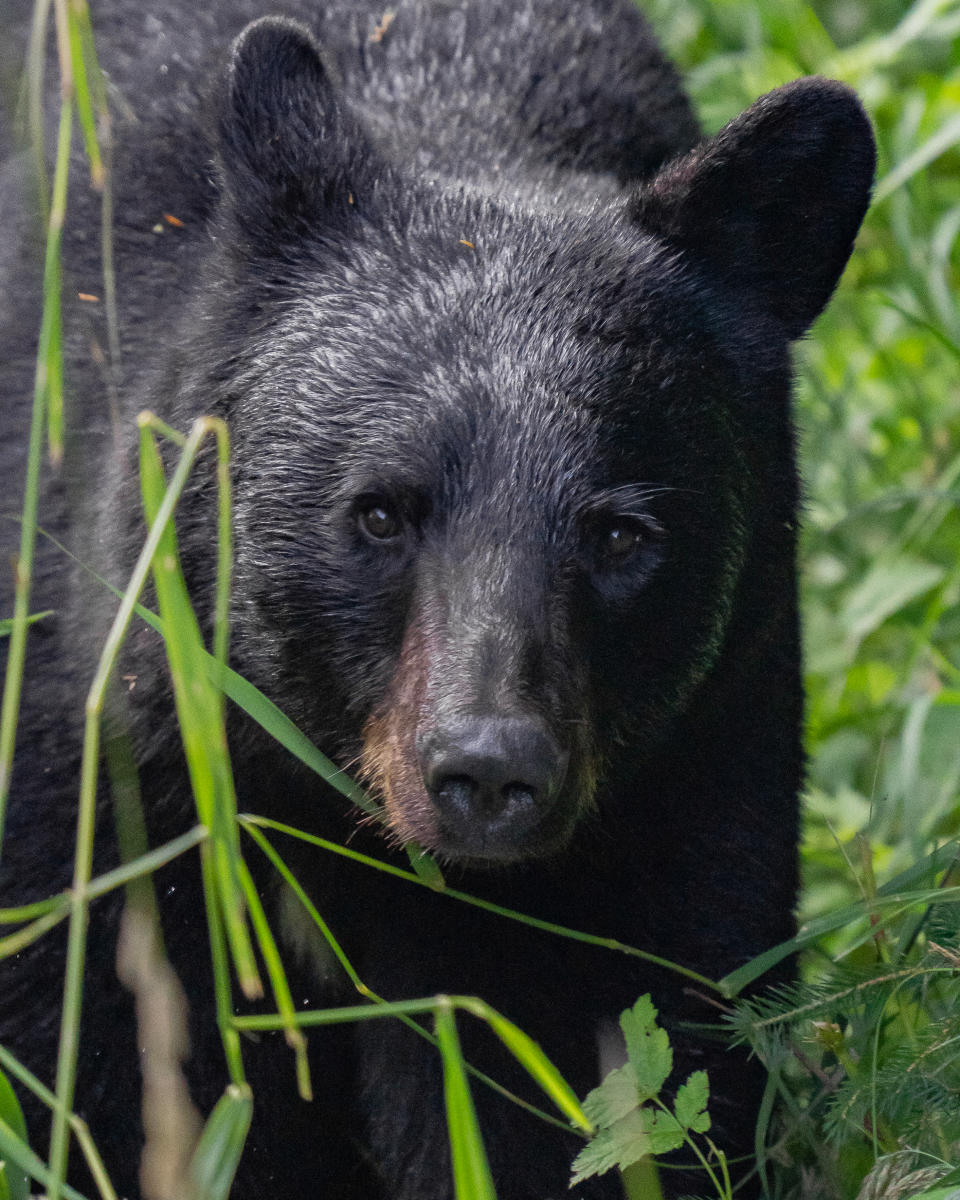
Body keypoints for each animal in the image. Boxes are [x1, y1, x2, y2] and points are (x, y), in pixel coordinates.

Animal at [0, 1, 875, 1198]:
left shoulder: (691, 767)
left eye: (620, 533)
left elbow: (602, 1072)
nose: (488, 769)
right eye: (379, 512)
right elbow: (119, 1063)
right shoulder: (120, 747)